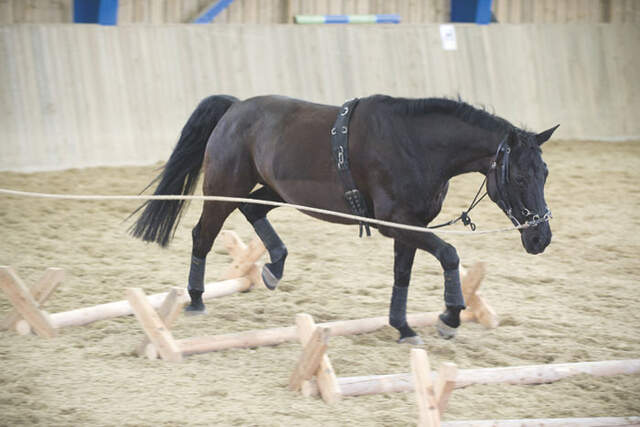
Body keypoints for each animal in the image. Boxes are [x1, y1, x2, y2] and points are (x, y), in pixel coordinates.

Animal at [130, 94, 558, 344]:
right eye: (520, 177)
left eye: (545, 173)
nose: (541, 238)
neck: (416, 145)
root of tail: (234, 108)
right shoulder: (398, 222)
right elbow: (449, 254)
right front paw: (450, 316)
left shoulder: (409, 226)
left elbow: (403, 273)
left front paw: (403, 327)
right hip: (223, 190)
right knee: (202, 235)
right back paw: (196, 298)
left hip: (276, 190)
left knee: (253, 210)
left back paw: (275, 267)